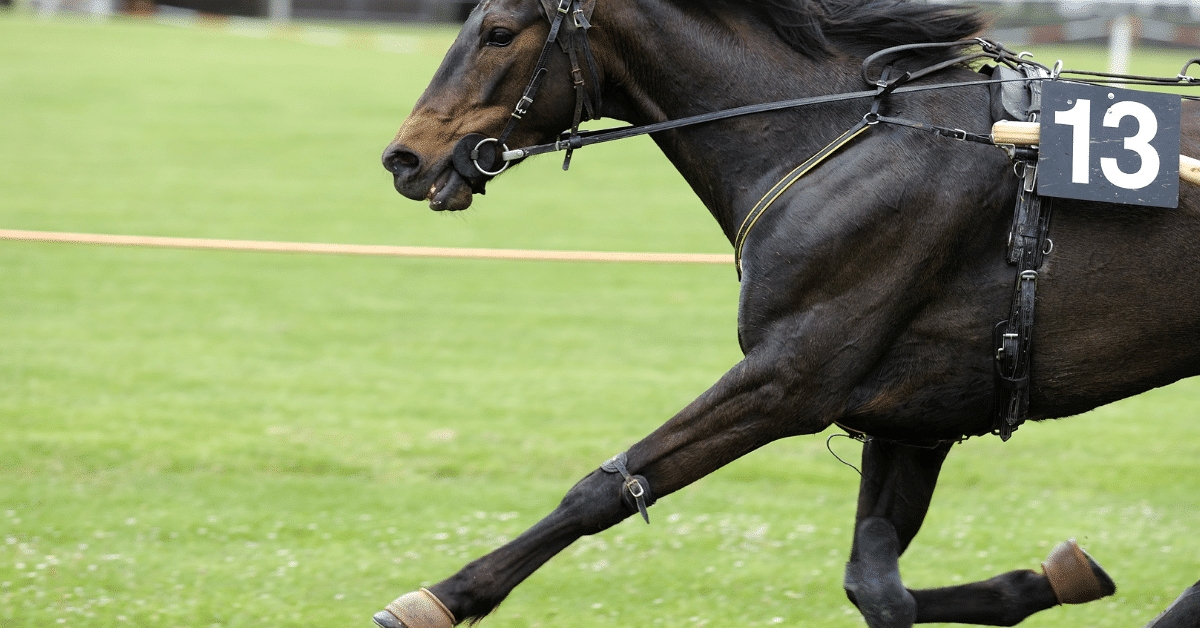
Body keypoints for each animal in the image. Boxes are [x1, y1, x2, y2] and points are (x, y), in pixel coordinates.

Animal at [378, 0, 1200, 625]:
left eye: (497, 32)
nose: (405, 158)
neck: (839, 138)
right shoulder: (915, 414)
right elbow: (878, 587)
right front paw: (1050, 579)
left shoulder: (790, 377)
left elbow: (605, 488)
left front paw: (438, 599)